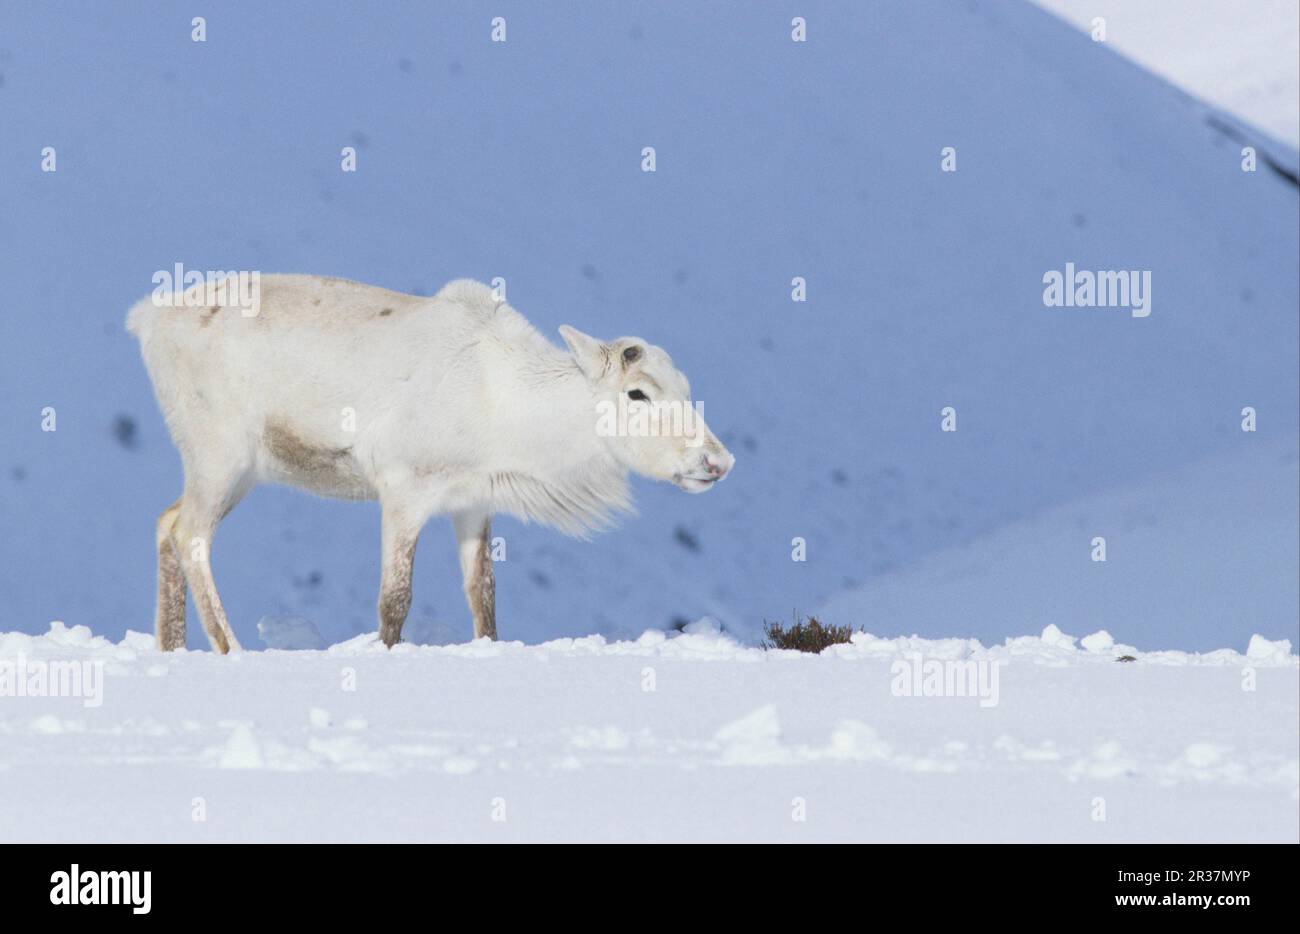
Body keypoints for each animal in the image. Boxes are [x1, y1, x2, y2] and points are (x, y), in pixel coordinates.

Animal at [126, 275, 735, 653]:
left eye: (686, 388)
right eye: (637, 393)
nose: (718, 460)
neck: (512, 418)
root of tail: (146, 318)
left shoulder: (473, 503)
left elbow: (483, 596)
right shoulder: (403, 488)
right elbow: (394, 601)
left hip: (230, 467)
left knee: (164, 520)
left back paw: (172, 645)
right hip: (221, 454)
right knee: (190, 534)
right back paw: (231, 647)